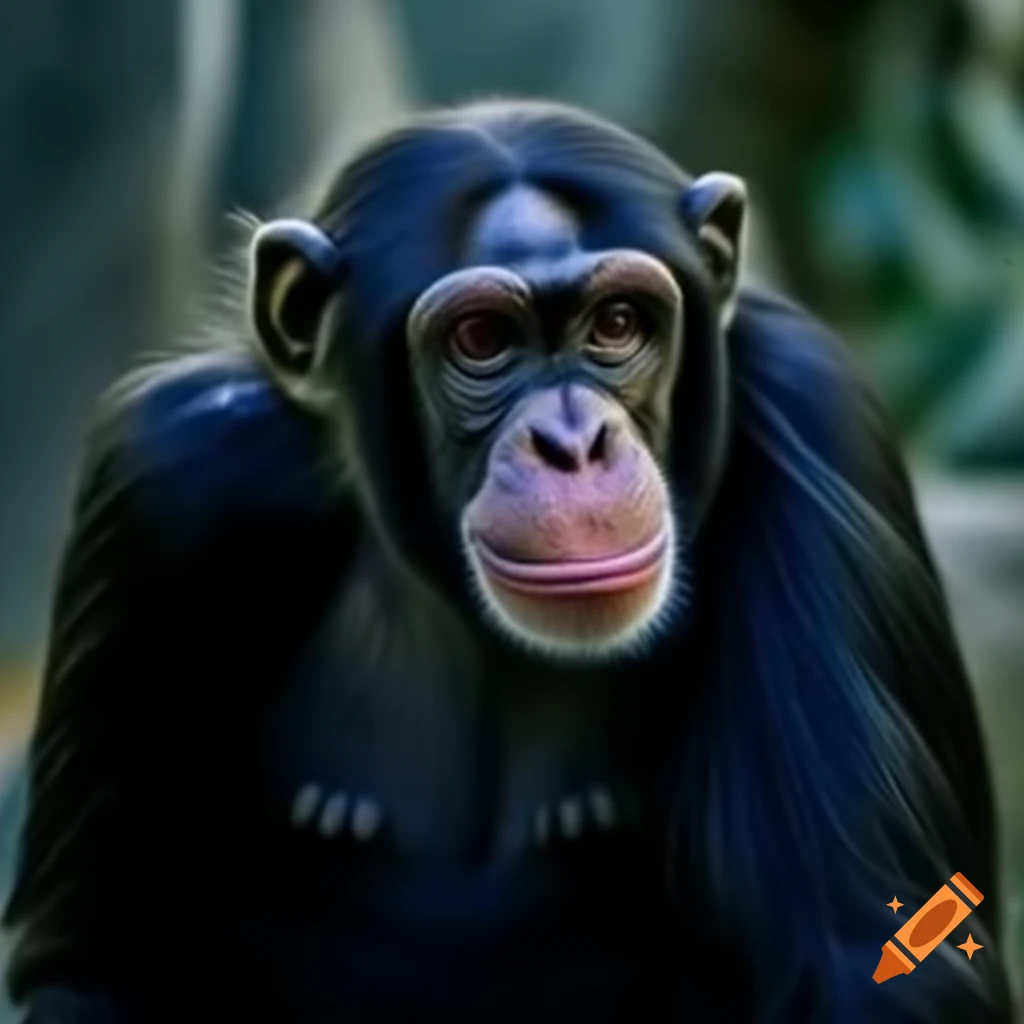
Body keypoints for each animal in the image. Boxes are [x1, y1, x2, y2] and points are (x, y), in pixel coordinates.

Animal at [2, 100, 1016, 1023]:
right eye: (482, 340)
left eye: (617, 324)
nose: (572, 444)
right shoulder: (167, 476)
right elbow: (89, 970)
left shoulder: (819, 411)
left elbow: (867, 954)